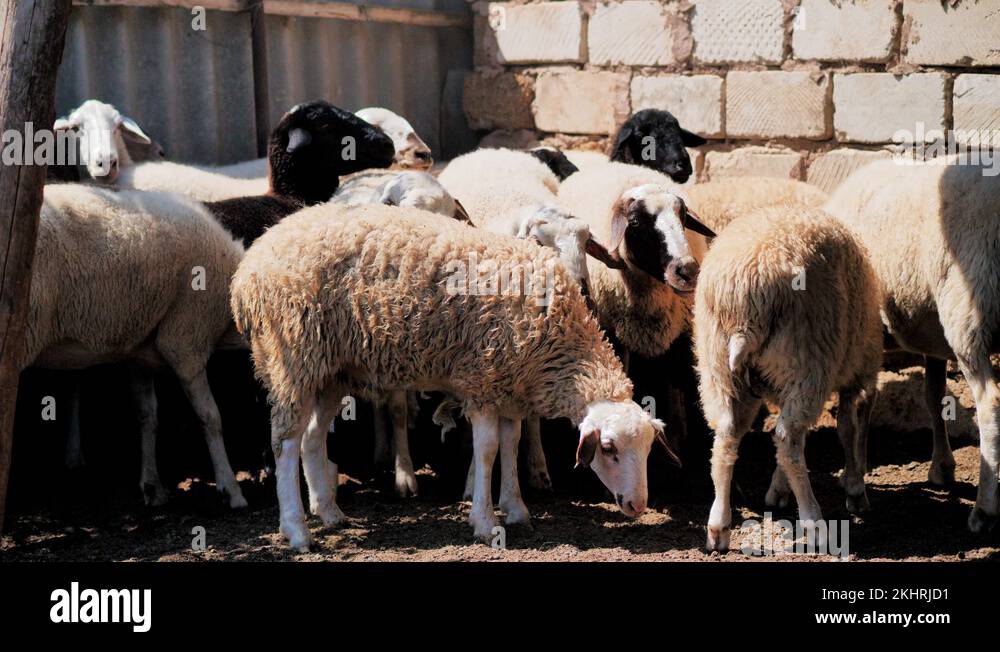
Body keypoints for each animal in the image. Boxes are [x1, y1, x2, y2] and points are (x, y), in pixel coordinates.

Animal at [19, 183, 248, 509]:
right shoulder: (186, 340)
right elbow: (210, 417)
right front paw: (231, 489)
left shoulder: (141, 354)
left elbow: (147, 416)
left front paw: (152, 487)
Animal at [230, 203, 670, 550]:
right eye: (609, 449)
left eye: (649, 450)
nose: (638, 506)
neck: (560, 336)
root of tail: (251, 263)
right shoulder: (483, 380)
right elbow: (489, 450)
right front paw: (485, 522)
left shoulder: (510, 385)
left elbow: (511, 444)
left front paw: (516, 508)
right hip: (292, 355)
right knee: (285, 443)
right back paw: (297, 531)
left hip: (331, 369)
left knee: (311, 437)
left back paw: (329, 513)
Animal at [695, 206, 882, 552]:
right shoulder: (855, 373)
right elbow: (848, 429)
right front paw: (855, 490)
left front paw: (778, 489)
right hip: (808, 361)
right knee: (788, 441)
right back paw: (815, 523)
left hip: (718, 369)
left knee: (727, 438)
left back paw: (718, 526)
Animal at [823, 157, 1000, 533]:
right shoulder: (932, 341)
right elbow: (933, 397)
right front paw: (942, 468)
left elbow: (855, 409)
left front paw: (853, 481)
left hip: (967, 314)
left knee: (990, 405)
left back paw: (984, 511)